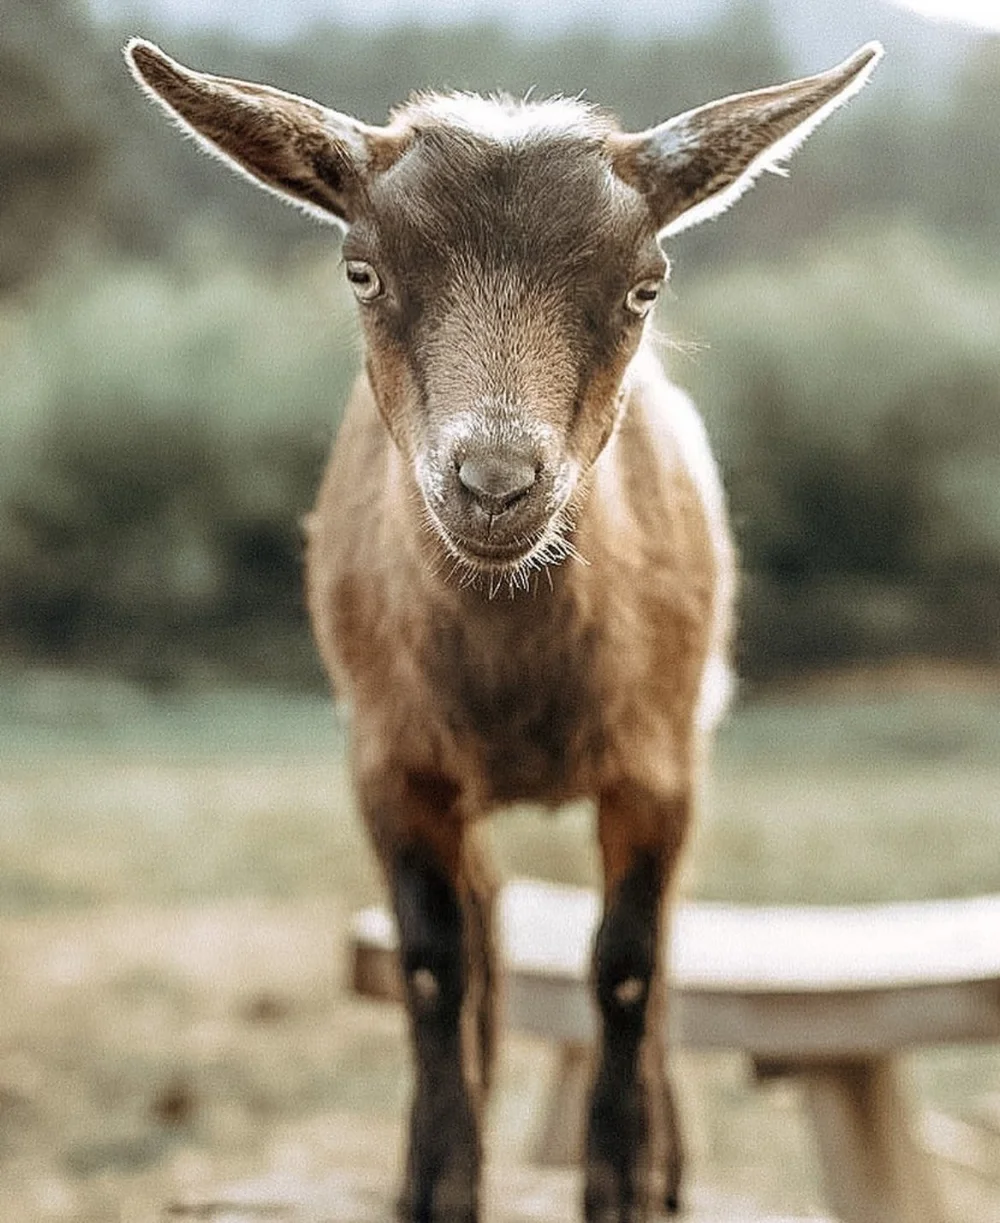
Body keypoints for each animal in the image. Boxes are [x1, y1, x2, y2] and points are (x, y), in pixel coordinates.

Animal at [125, 39, 882, 1223]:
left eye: (644, 285)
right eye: (361, 271)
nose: (492, 483)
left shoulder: (658, 768)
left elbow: (627, 965)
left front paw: (621, 1180)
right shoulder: (390, 764)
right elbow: (436, 964)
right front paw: (441, 1180)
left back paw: (667, 1158)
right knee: (477, 932)